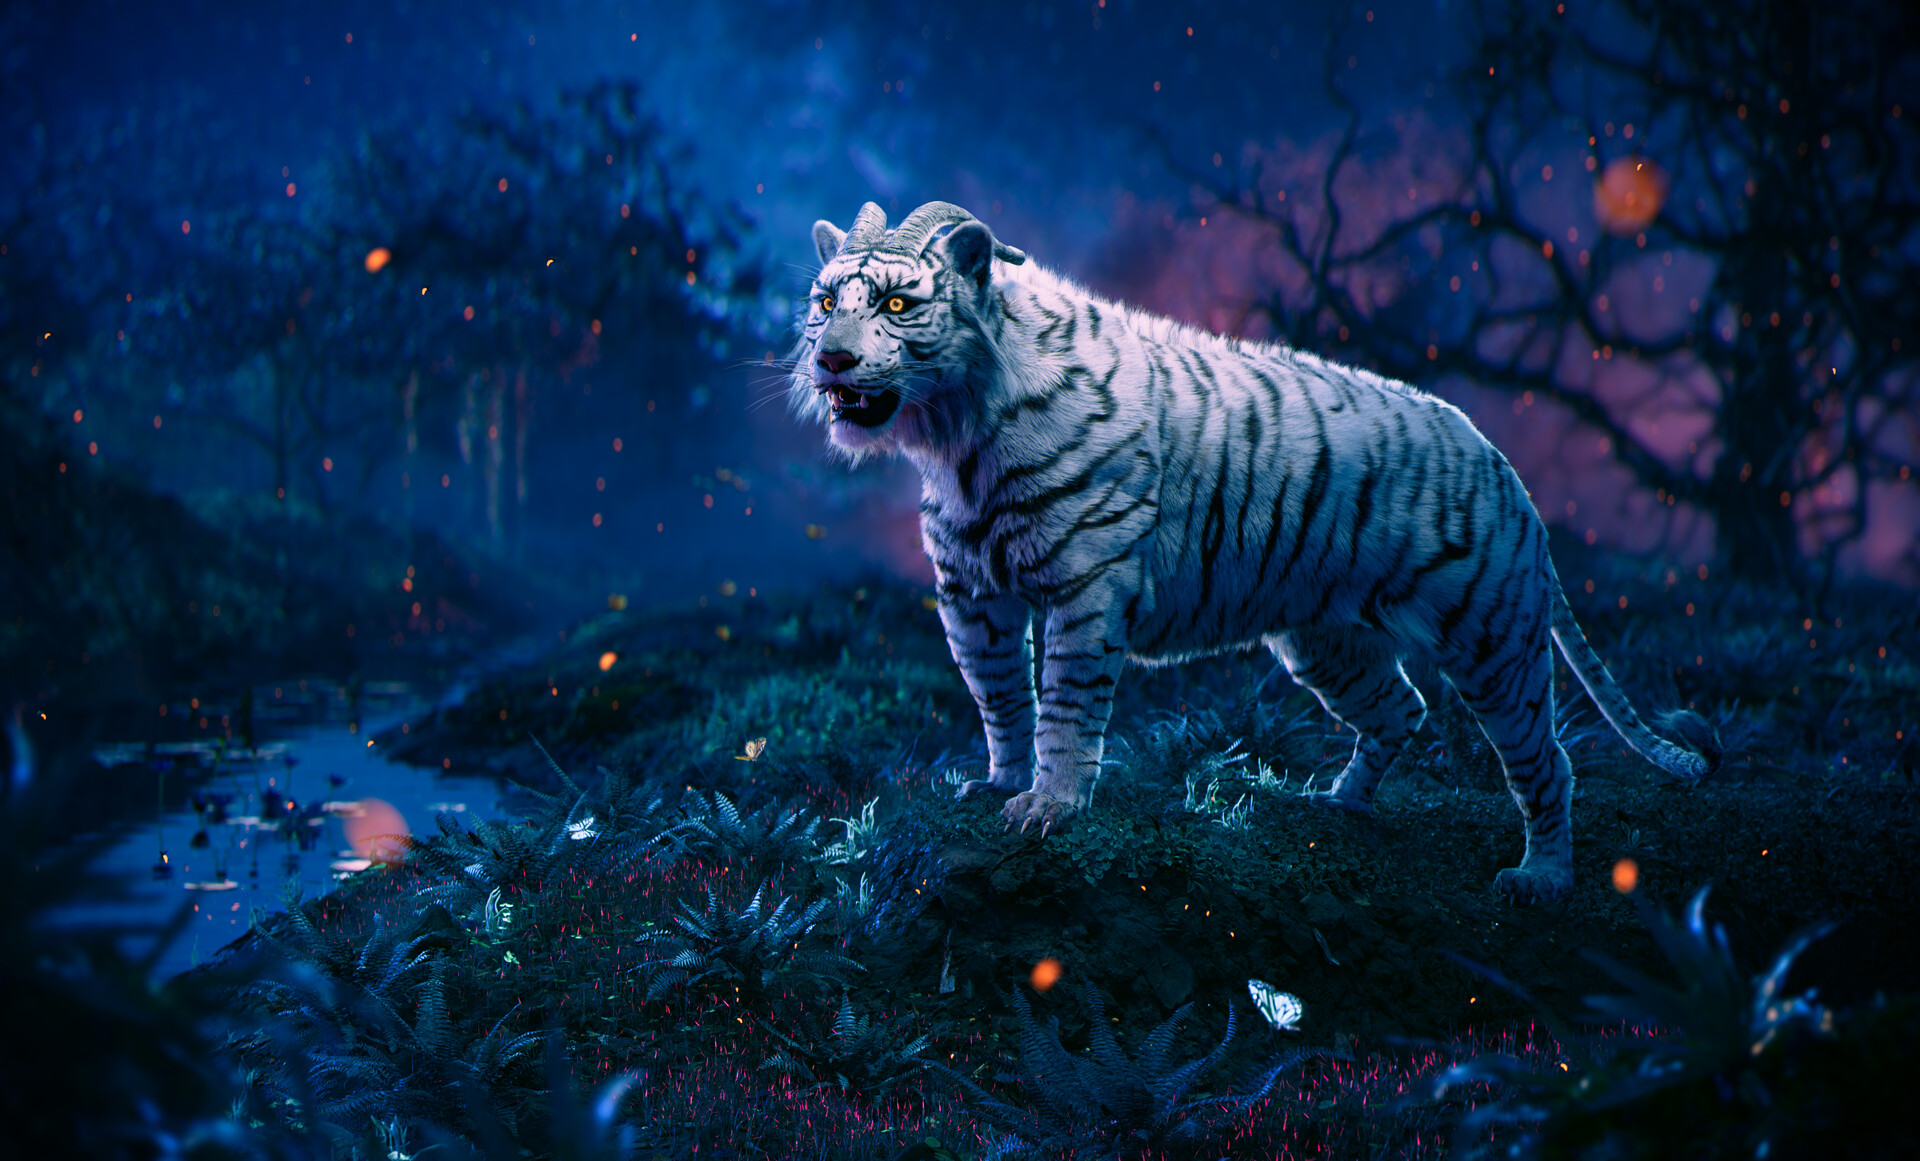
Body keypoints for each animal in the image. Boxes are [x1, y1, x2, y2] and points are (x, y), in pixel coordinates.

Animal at [789, 200, 1717, 904]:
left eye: (897, 306)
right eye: (824, 301)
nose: (830, 359)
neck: (956, 438)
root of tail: (1503, 463)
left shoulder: (1085, 588)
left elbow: (1063, 707)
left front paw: (1048, 806)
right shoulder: (970, 596)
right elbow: (999, 699)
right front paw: (996, 784)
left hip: (1492, 638)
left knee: (1545, 759)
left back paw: (1541, 877)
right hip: (1326, 640)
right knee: (1401, 709)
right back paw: (1335, 803)